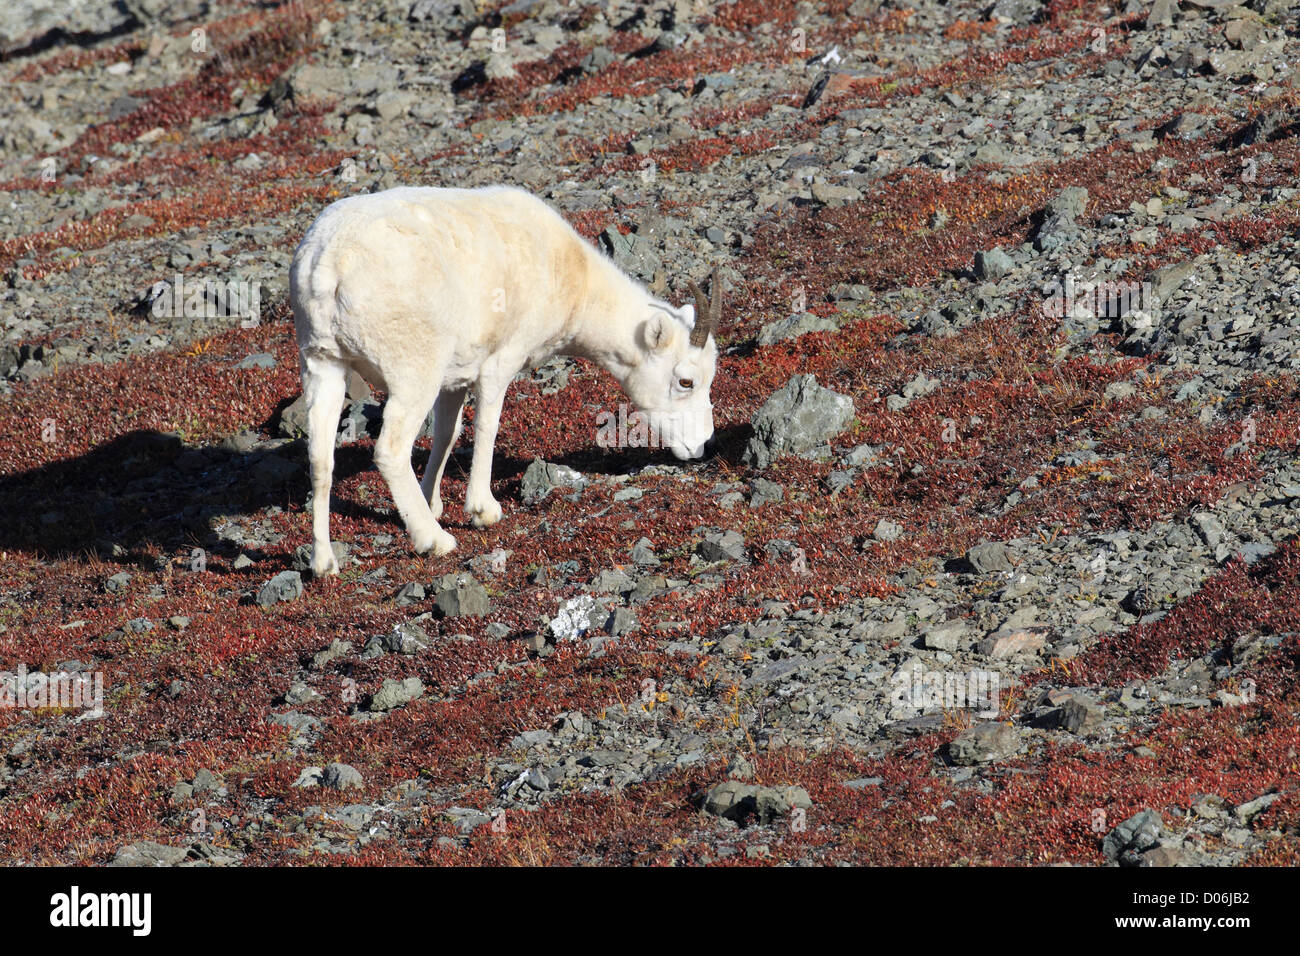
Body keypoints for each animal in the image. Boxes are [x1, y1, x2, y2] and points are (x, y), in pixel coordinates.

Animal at [289, 185, 723, 577]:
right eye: (686, 381)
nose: (701, 444)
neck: (570, 274)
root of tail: (328, 265)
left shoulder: (454, 380)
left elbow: (447, 433)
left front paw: (433, 504)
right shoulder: (499, 365)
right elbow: (487, 426)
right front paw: (483, 511)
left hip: (324, 364)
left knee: (320, 457)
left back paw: (325, 564)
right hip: (414, 375)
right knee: (390, 450)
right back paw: (435, 541)